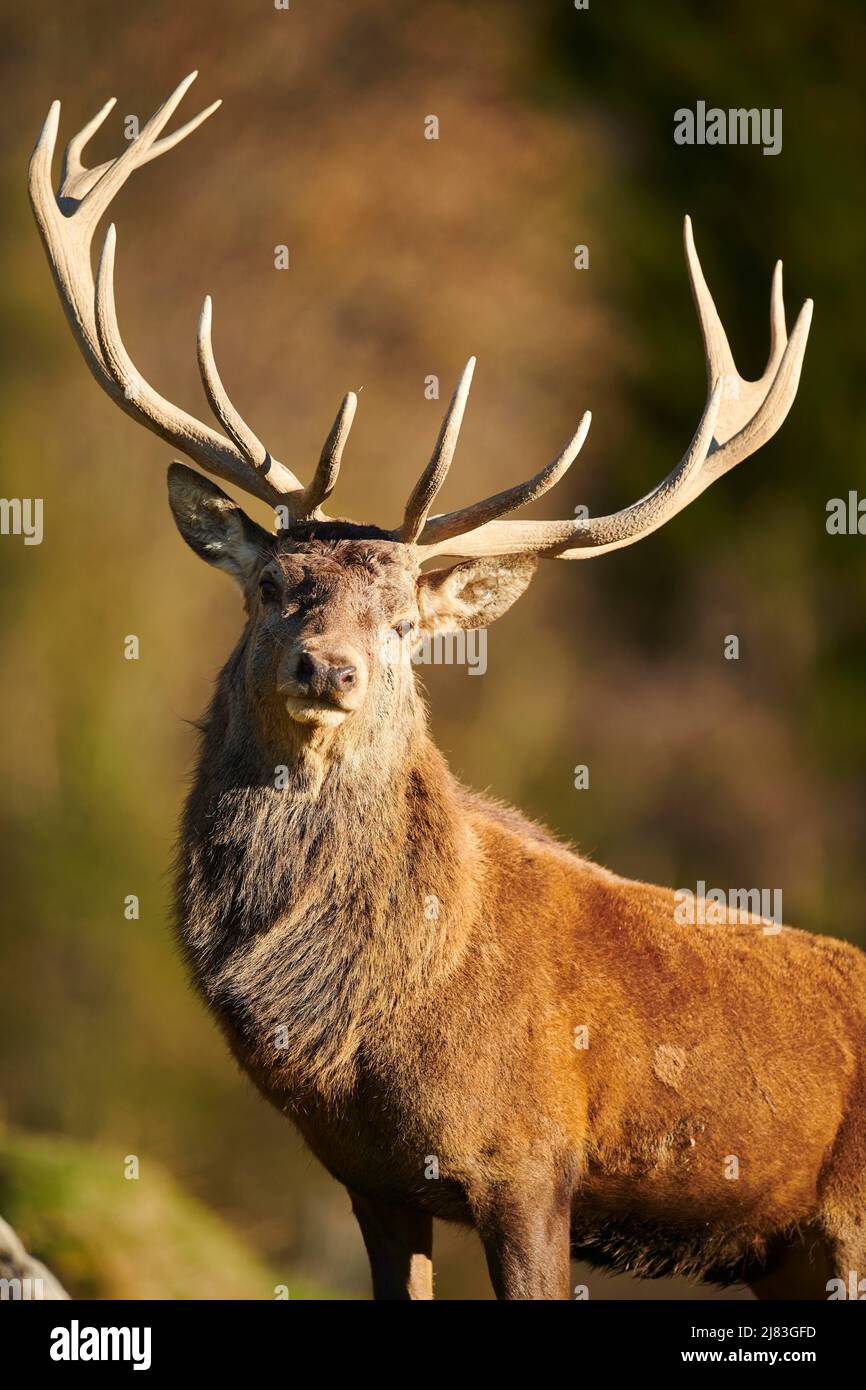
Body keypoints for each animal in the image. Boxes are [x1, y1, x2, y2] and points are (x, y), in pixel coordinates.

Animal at [30, 73, 866, 1303]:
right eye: (273, 583)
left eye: (404, 622)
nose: (326, 666)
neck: (366, 1028)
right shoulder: (370, 1178)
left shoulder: (527, 1158)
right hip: (786, 1257)